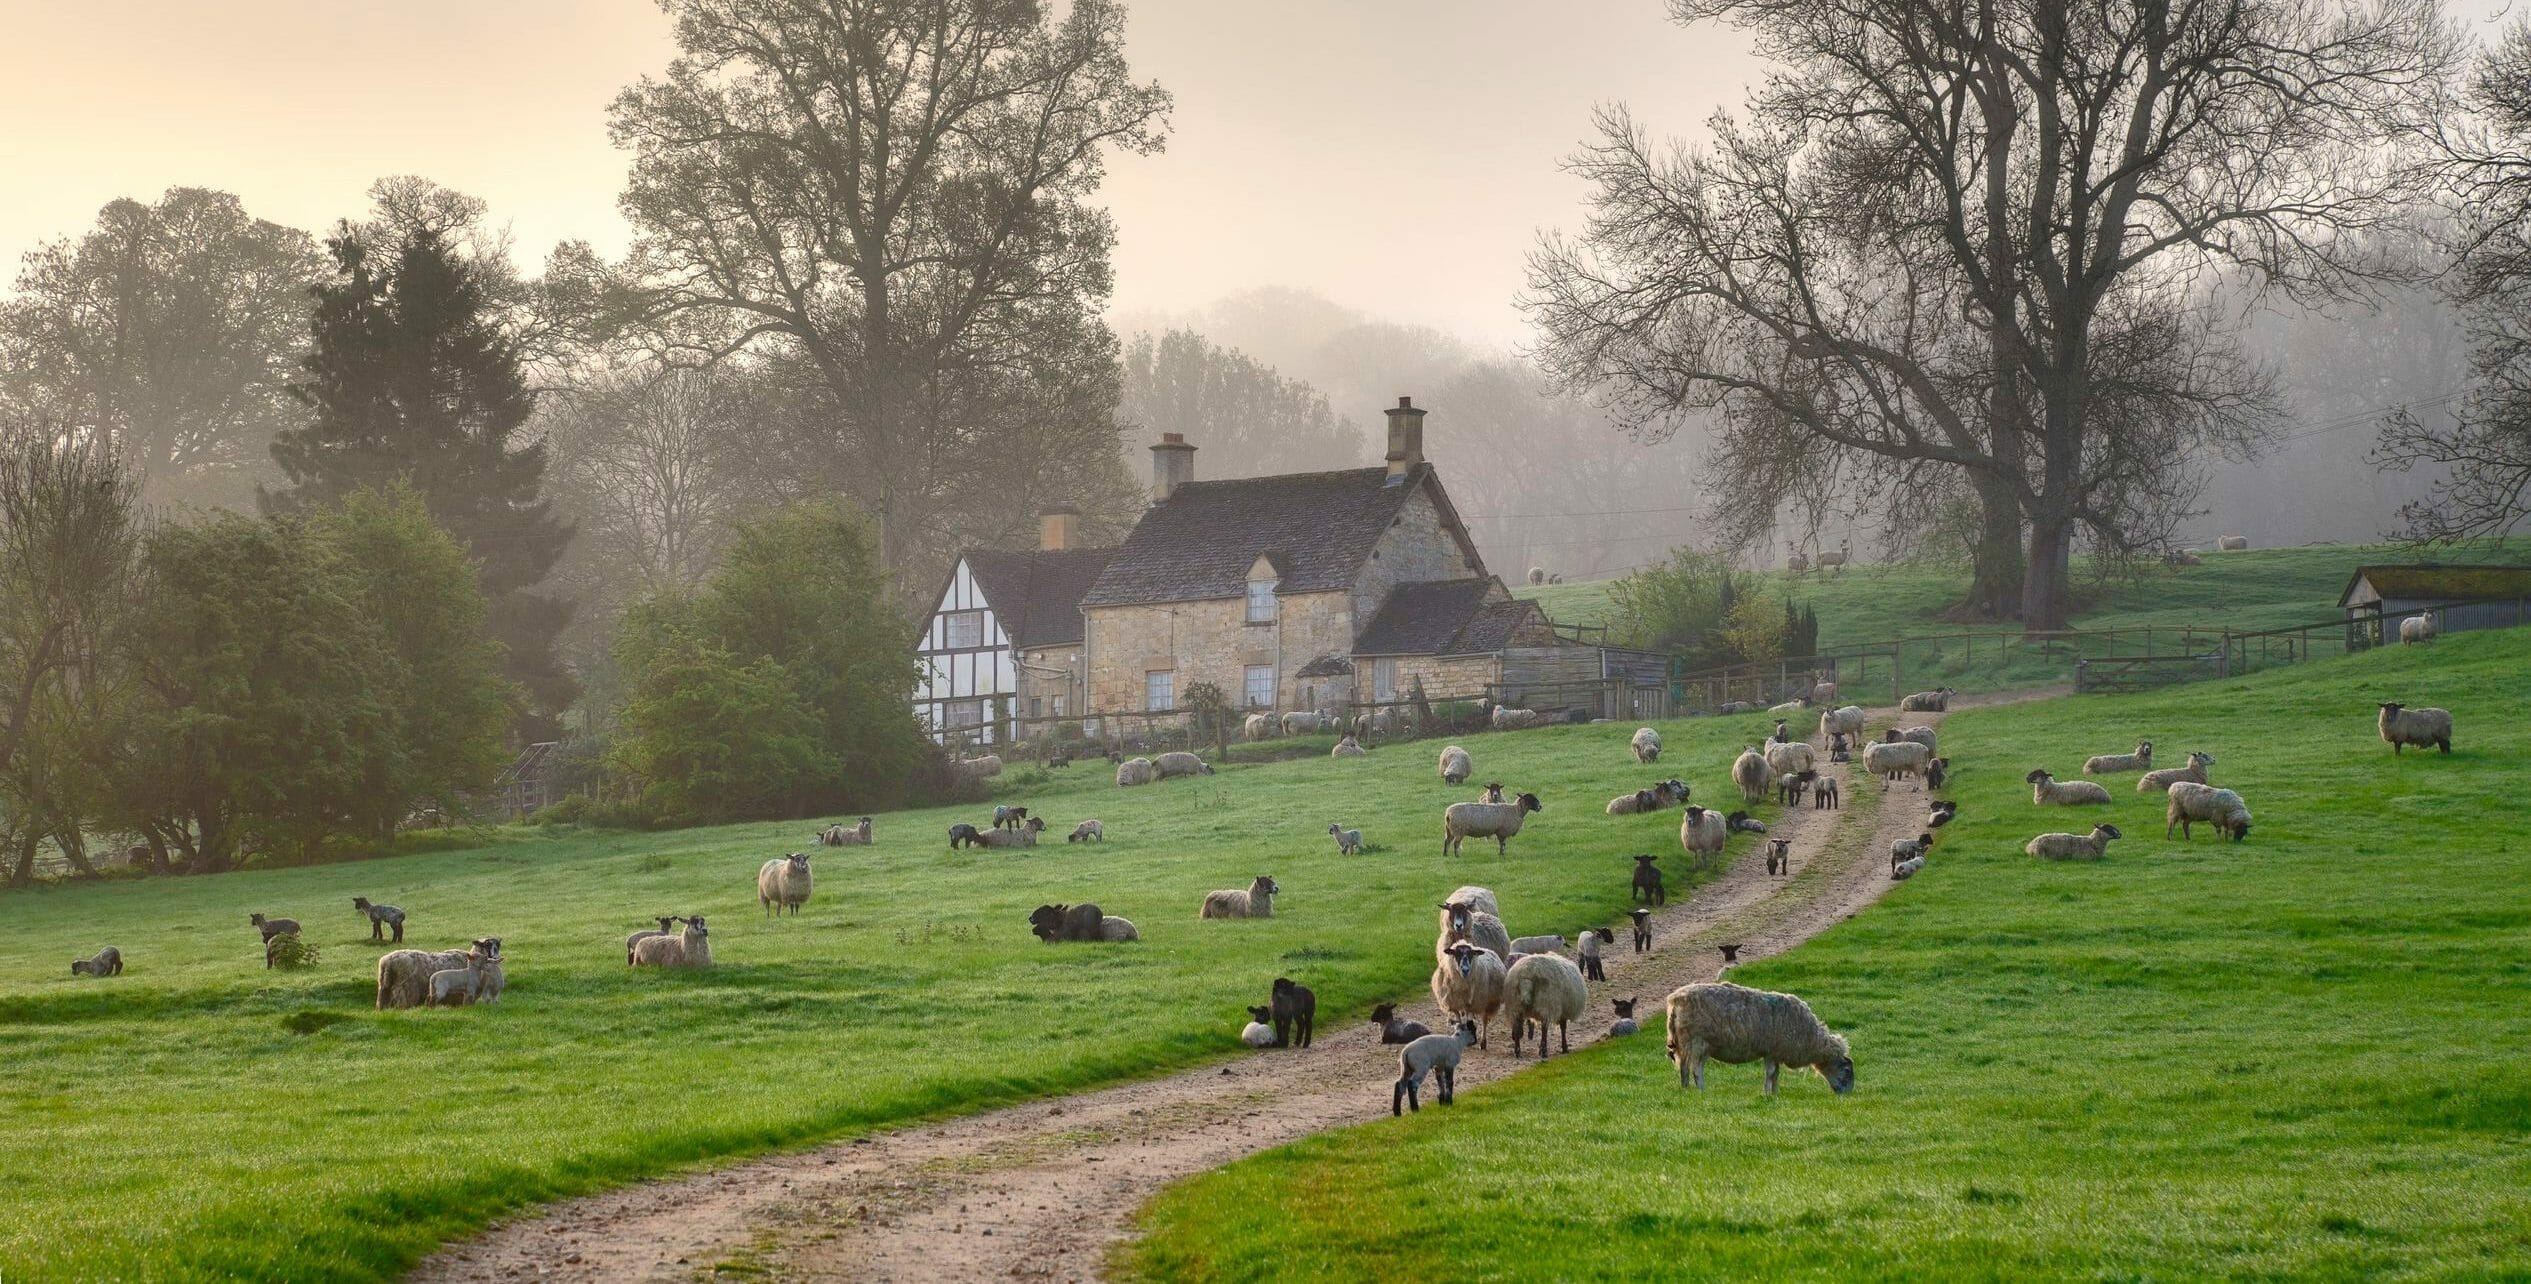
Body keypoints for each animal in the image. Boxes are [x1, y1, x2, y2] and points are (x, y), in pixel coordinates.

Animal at [372, 942, 501, 1007]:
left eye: (498, 944)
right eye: (488, 945)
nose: (496, 957)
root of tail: (387, 961)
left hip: (384, 987)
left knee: (381, 1001)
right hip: (405, 988)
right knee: (403, 1001)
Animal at [1660, 982, 1862, 1094]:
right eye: (1846, 1070)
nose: (1846, 1095)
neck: (1811, 1039)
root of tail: (1675, 1000)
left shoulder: (1775, 1051)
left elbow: (1776, 1074)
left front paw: (1775, 1093)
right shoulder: (1773, 1050)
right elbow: (1771, 1073)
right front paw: (1767, 1093)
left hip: (1685, 1043)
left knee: (1684, 1068)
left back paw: (1685, 1090)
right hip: (1697, 1041)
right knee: (1696, 1070)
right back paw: (1702, 1091)